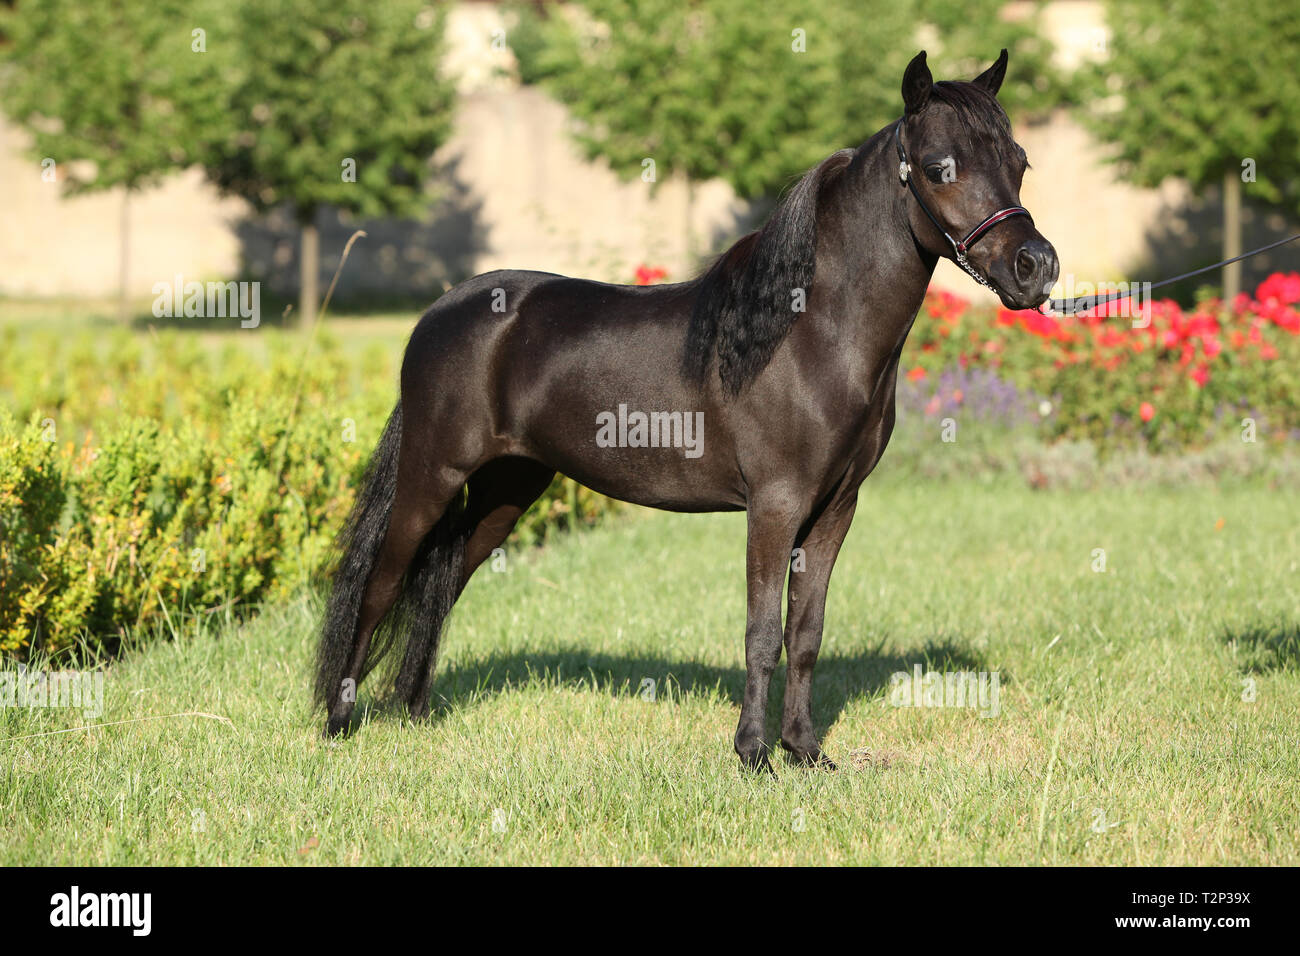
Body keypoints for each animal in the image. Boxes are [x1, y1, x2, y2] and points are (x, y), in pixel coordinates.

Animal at [314, 49, 1059, 772]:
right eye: (939, 168)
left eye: (1020, 163)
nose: (1037, 268)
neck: (808, 332)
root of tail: (439, 314)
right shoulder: (776, 504)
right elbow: (763, 632)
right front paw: (754, 754)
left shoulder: (834, 510)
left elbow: (806, 633)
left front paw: (805, 751)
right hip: (431, 477)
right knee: (381, 583)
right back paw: (338, 723)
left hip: (508, 488)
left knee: (439, 586)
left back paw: (414, 713)